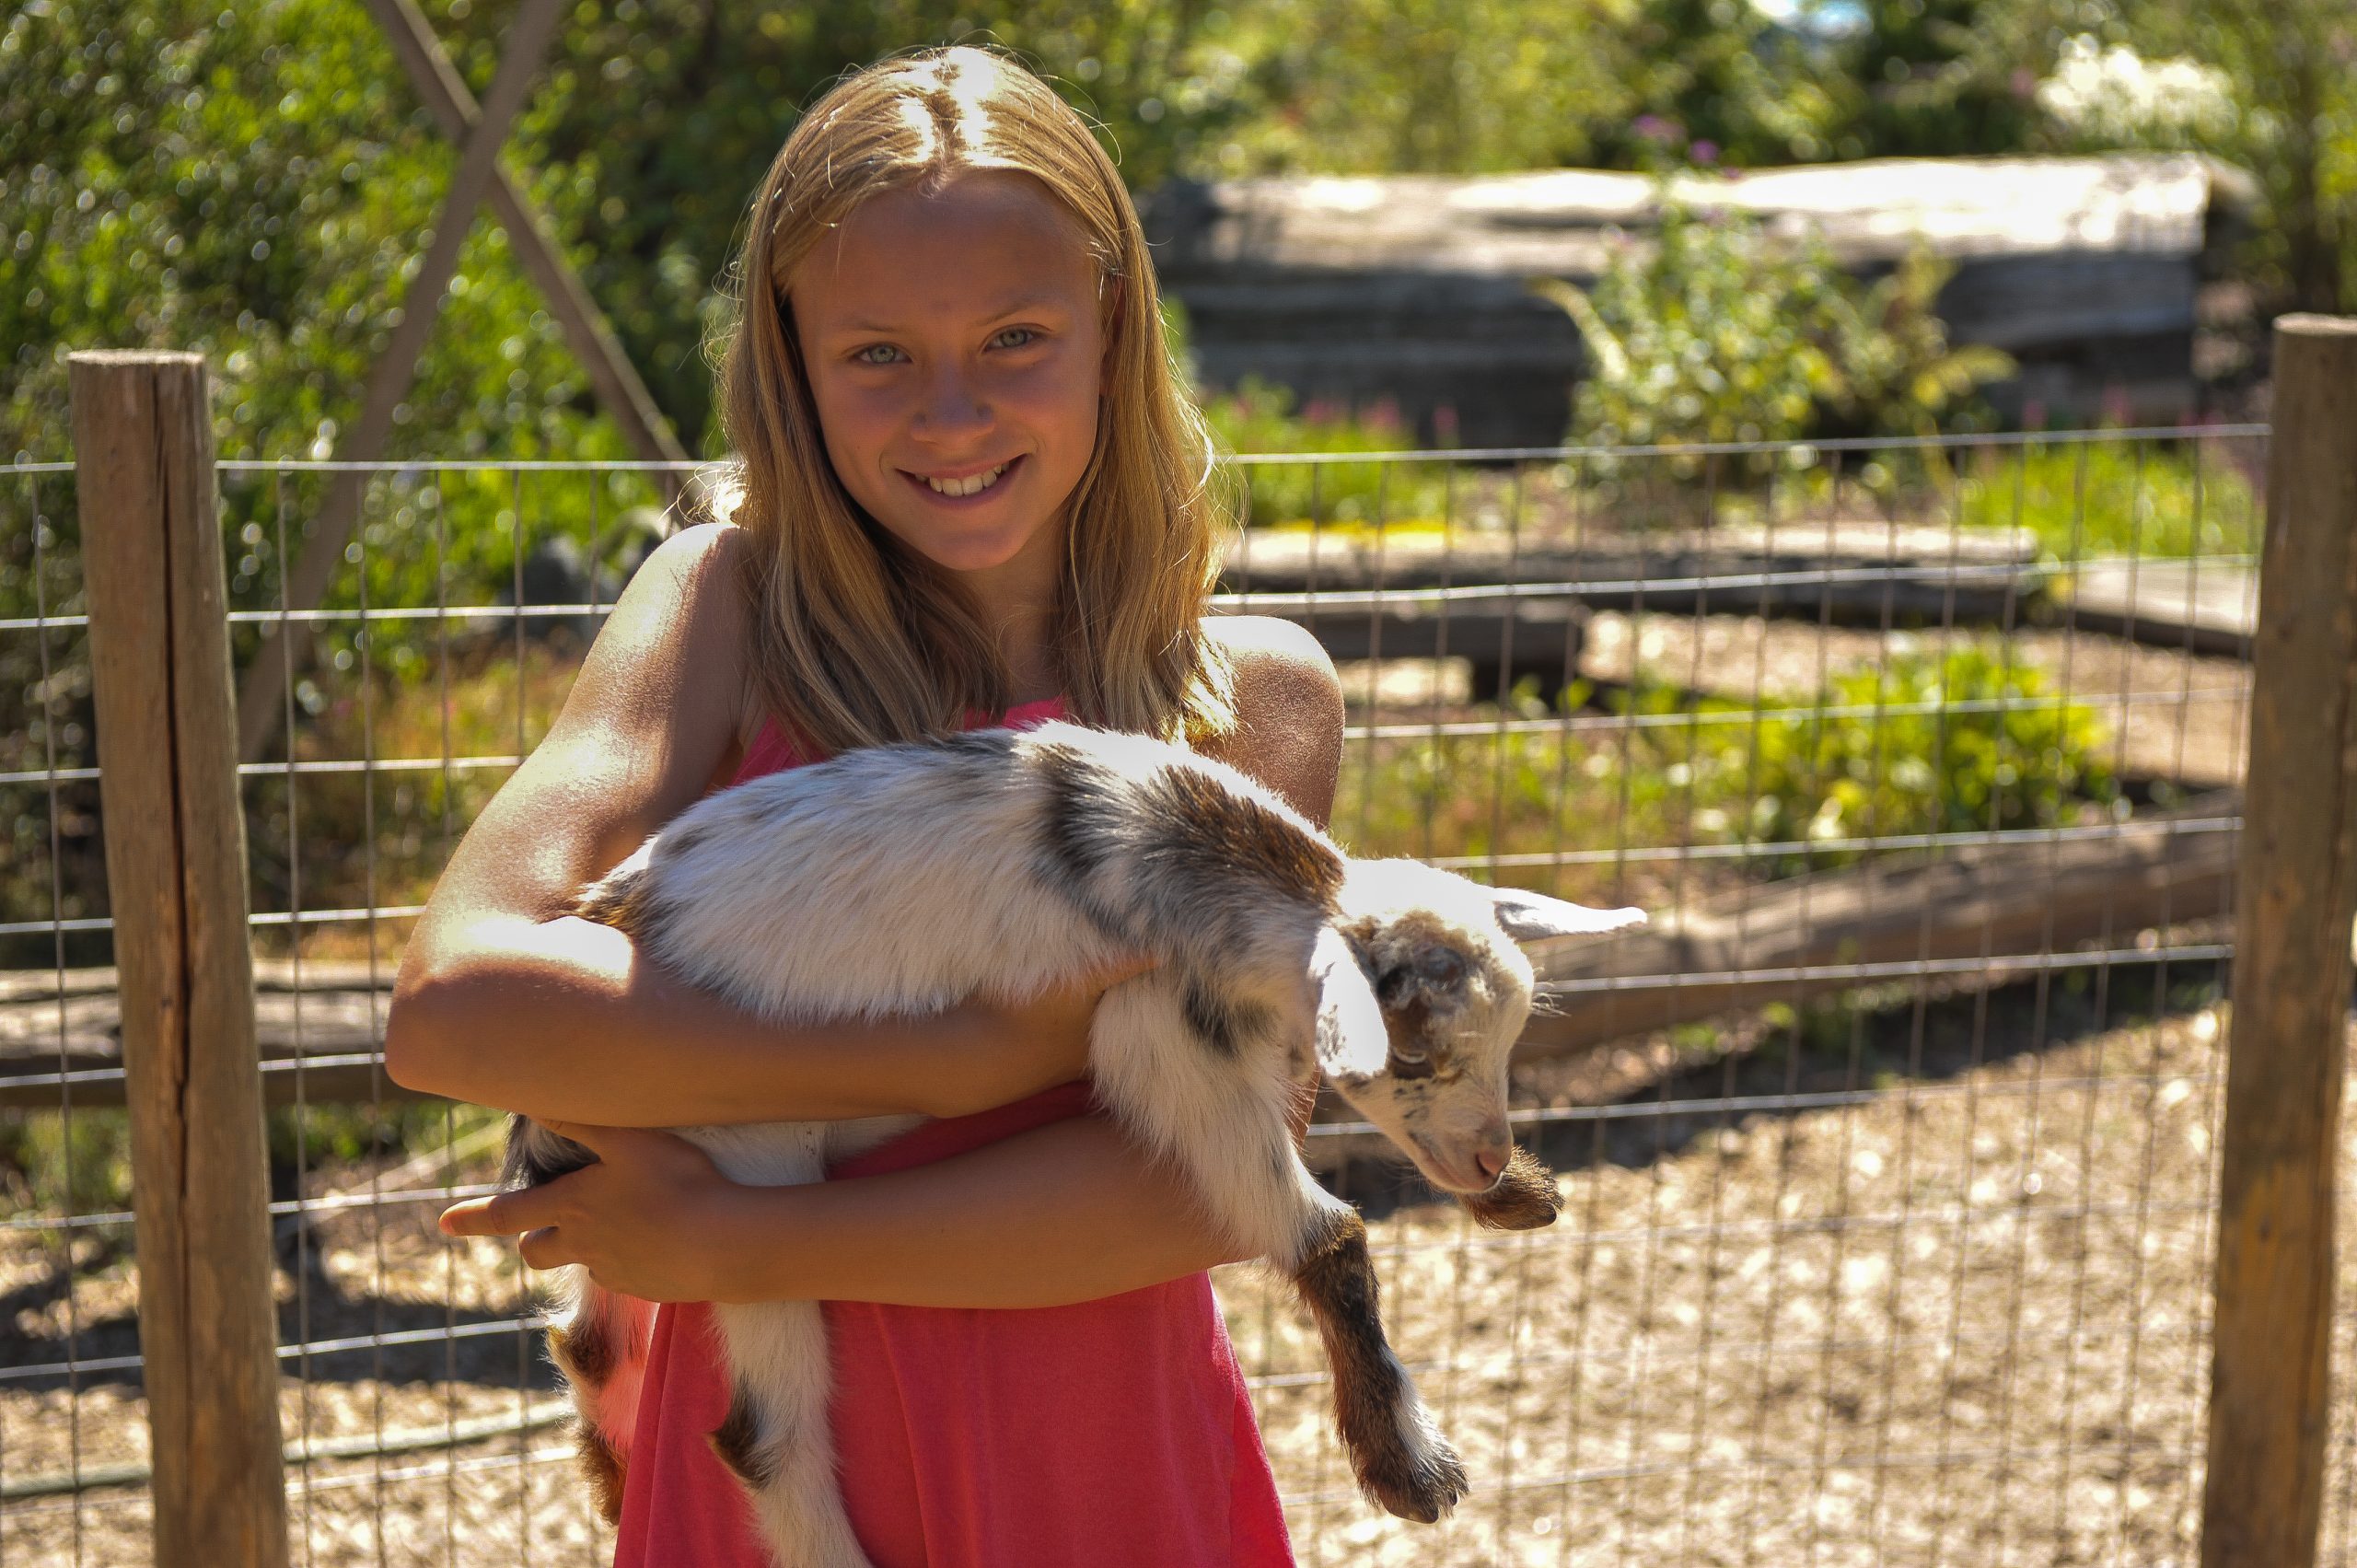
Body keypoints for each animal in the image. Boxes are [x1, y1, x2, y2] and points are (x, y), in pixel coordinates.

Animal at [507, 720, 1643, 1567]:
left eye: (1510, 1041)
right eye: (1409, 1052)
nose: (1486, 1161)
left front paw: (1522, 1194)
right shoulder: (1156, 1034)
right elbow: (1328, 1234)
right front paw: (1406, 1464)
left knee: (588, 1335)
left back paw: (611, 1469)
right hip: (753, 1173)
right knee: (759, 1433)